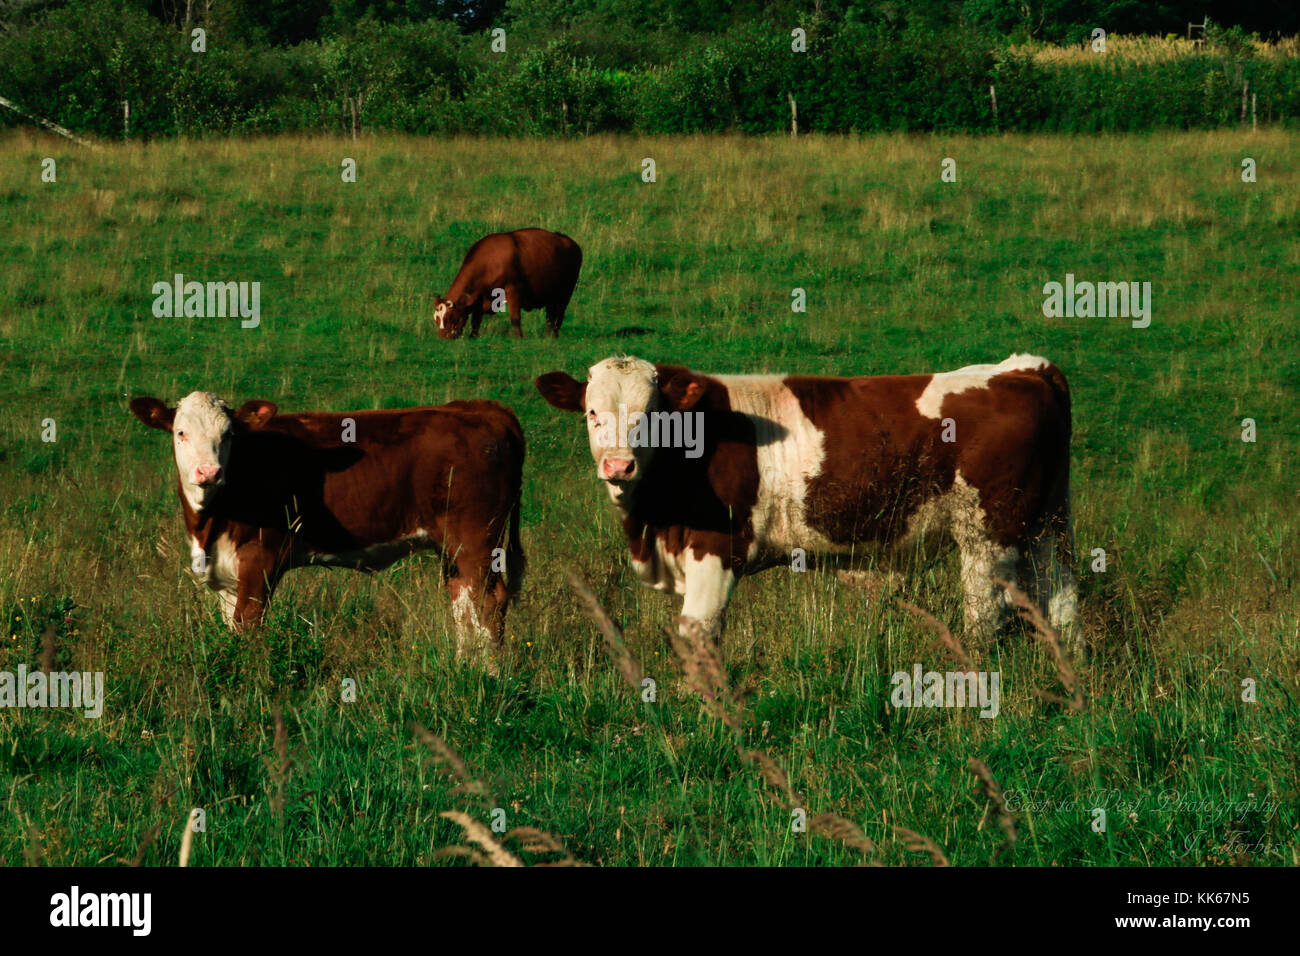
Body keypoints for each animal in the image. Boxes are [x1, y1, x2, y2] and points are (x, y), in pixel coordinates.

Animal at [129, 392, 525, 669]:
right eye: (181, 432)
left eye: (228, 435)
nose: (208, 472)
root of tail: (481, 408)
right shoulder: (225, 573)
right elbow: (231, 628)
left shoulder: (261, 561)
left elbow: (249, 626)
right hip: (453, 548)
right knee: (463, 601)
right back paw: (464, 667)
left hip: (476, 540)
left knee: (488, 601)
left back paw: (488, 675)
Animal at [434, 228, 582, 340]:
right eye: (436, 319)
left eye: (449, 317)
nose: (442, 337)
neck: (490, 262)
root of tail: (570, 241)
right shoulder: (480, 297)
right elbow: (476, 319)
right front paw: (473, 336)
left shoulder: (513, 289)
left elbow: (515, 318)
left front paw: (519, 338)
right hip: (551, 296)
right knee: (550, 316)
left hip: (566, 293)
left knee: (559, 315)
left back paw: (554, 335)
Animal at [536, 354, 1078, 651]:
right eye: (591, 413)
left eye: (651, 414)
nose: (618, 466)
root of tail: (1022, 369)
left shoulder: (718, 546)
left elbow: (698, 632)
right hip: (1048, 526)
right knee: (1062, 600)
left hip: (989, 535)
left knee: (986, 618)